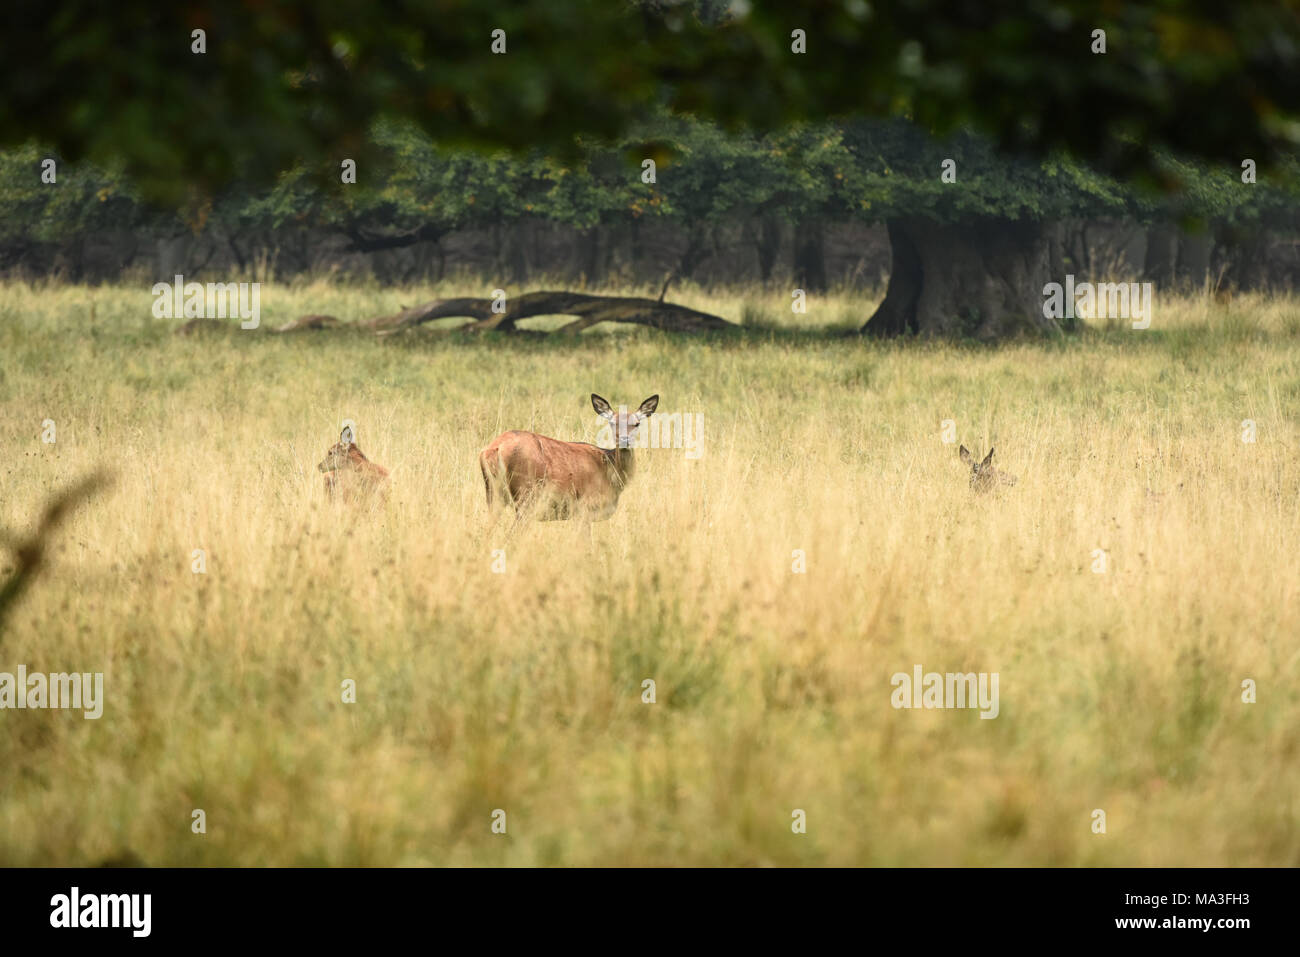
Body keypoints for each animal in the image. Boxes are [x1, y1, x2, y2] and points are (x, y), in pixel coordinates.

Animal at [479, 394, 658, 521]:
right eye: (613, 423)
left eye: (637, 424)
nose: (624, 440)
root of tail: (494, 449)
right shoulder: (584, 508)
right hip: (526, 495)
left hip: (492, 493)